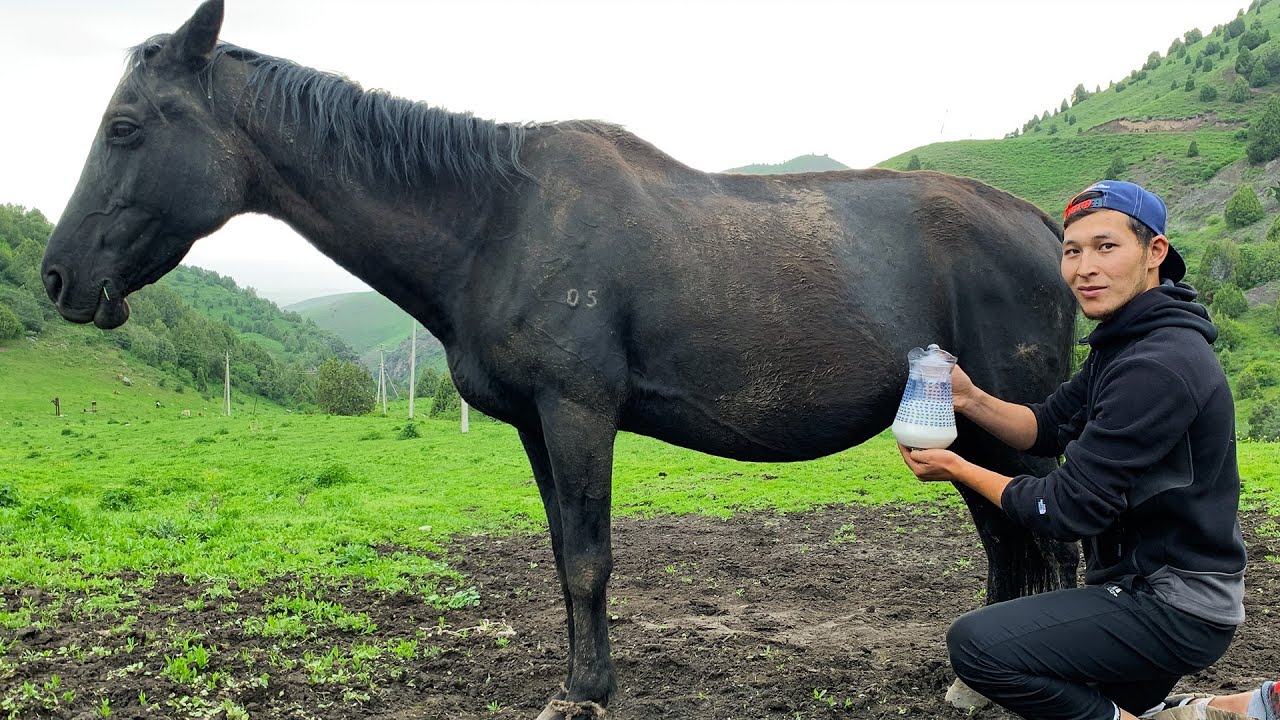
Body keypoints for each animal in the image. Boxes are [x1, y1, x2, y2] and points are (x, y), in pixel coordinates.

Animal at [41, 2, 1079, 716]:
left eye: (125, 127)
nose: (57, 276)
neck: (495, 222)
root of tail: (1045, 224)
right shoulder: (536, 428)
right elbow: (560, 554)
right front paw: (585, 676)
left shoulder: (578, 413)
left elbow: (588, 558)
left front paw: (587, 692)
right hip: (966, 431)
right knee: (1005, 538)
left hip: (1014, 431)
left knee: (1047, 539)